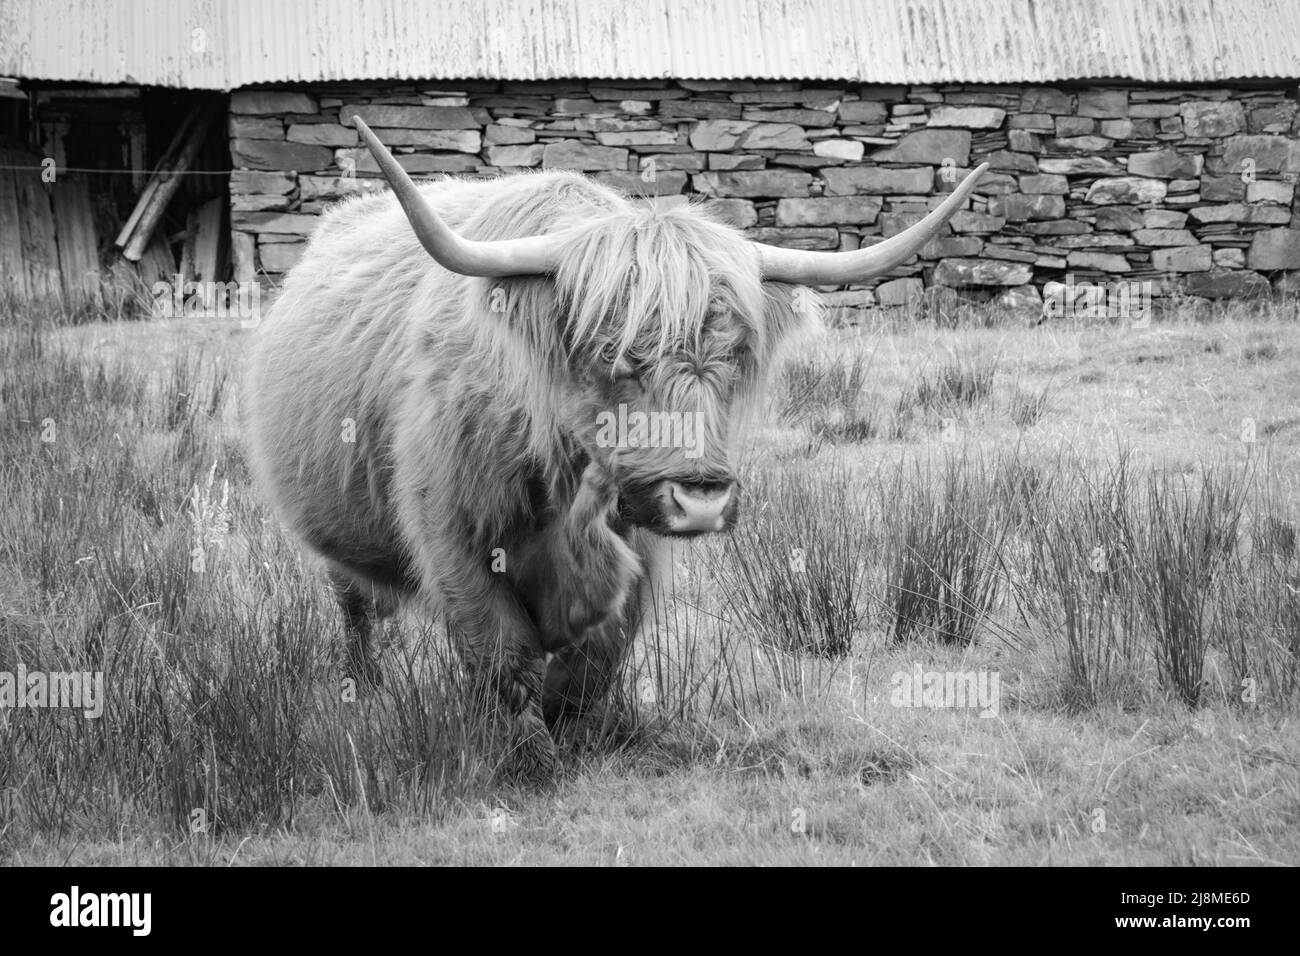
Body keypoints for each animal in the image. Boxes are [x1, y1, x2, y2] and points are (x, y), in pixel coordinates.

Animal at [245, 116, 987, 779]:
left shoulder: (639, 545)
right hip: (335, 538)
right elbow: (502, 654)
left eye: (735, 355)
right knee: (355, 607)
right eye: (613, 352)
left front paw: (573, 730)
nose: (701, 497)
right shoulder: (453, 537)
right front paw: (532, 761)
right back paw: (365, 686)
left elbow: (595, 658)